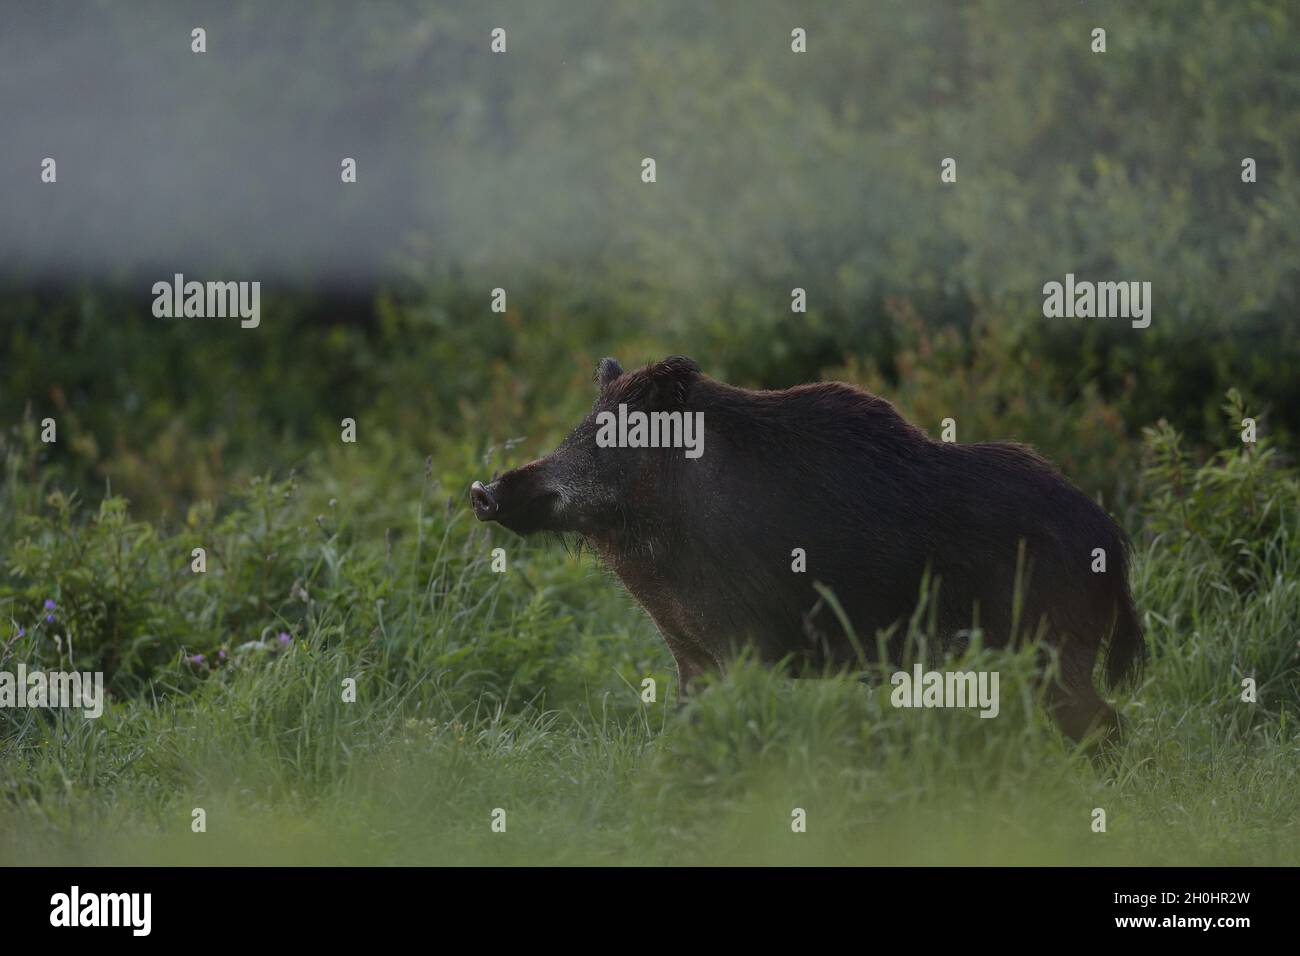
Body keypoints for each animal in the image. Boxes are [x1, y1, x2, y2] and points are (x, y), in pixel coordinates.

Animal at [471, 356, 1145, 745]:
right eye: (581, 426)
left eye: (616, 434)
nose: (485, 491)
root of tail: (1113, 540)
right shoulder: (690, 653)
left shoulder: (743, 642)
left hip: (1054, 648)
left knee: (1107, 722)